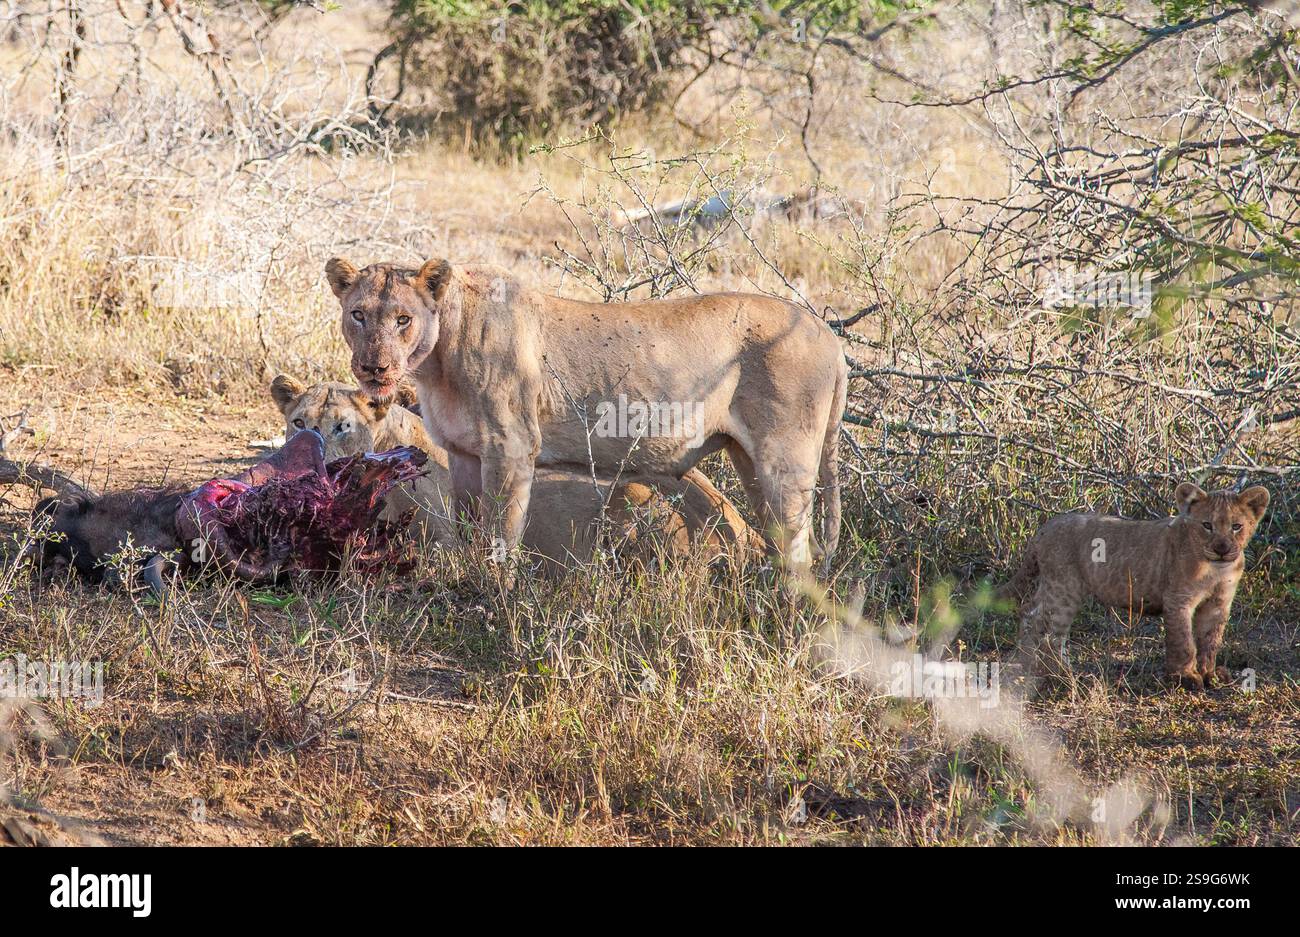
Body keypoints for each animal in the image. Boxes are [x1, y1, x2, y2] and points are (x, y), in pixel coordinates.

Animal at [270, 375, 762, 573]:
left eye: (343, 426)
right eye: (299, 422)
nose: (319, 463)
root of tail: (745, 530)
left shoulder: (448, 545)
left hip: (636, 497)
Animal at [322, 258, 847, 575]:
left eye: (403, 320)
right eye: (359, 315)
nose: (374, 367)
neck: (438, 360)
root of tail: (829, 334)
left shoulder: (513, 448)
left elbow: (502, 535)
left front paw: (496, 598)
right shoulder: (465, 454)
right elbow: (471, 529)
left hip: (786, 460)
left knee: (799, 553)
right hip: (748, 461)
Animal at [998, 482, 1270, 690]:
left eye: (1236, 526)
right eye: (1207, 525)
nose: (1222, 549)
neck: (1215, 568)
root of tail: (1045, 527)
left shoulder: (1218, 603)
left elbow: (1210, 640)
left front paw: (1210, 674)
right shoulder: (1178, 599)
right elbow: (1184, 641)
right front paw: (1186, 677)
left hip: (1055, 586)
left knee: (1031, 614)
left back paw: (1030, 665)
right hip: (1065, 588)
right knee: (1048, 629)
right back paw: (1061, 674)